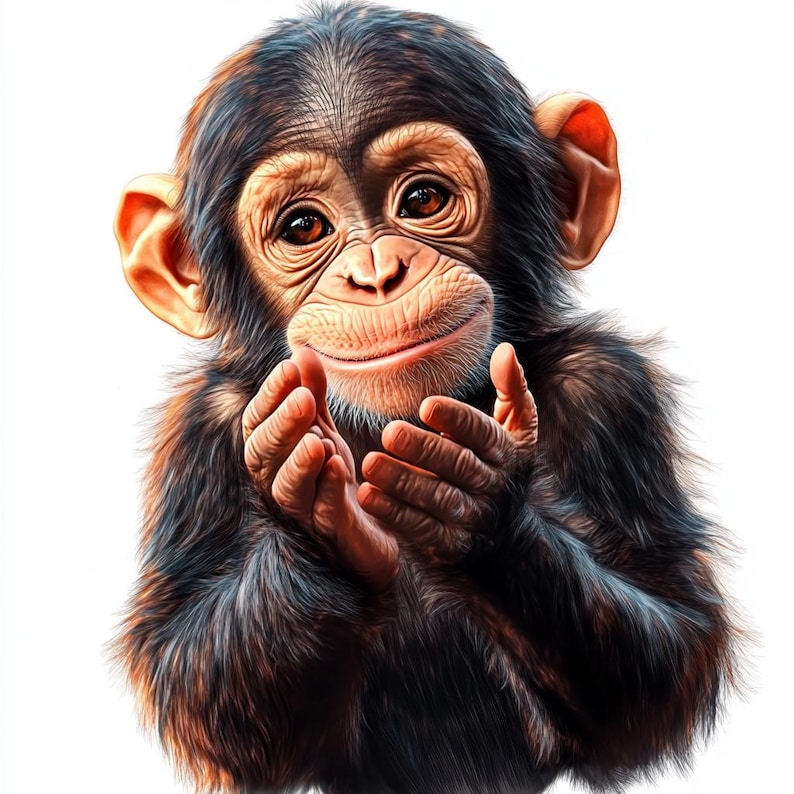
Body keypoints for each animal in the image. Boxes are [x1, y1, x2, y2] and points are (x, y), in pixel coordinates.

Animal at [113, 3, 737, 793]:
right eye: (303, 227)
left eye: (423, 199)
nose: (378, 272)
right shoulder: (200, 430)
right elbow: (191, 670)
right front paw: (320, 520)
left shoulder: (611, 391)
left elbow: (670, 648)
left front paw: (475, 502)